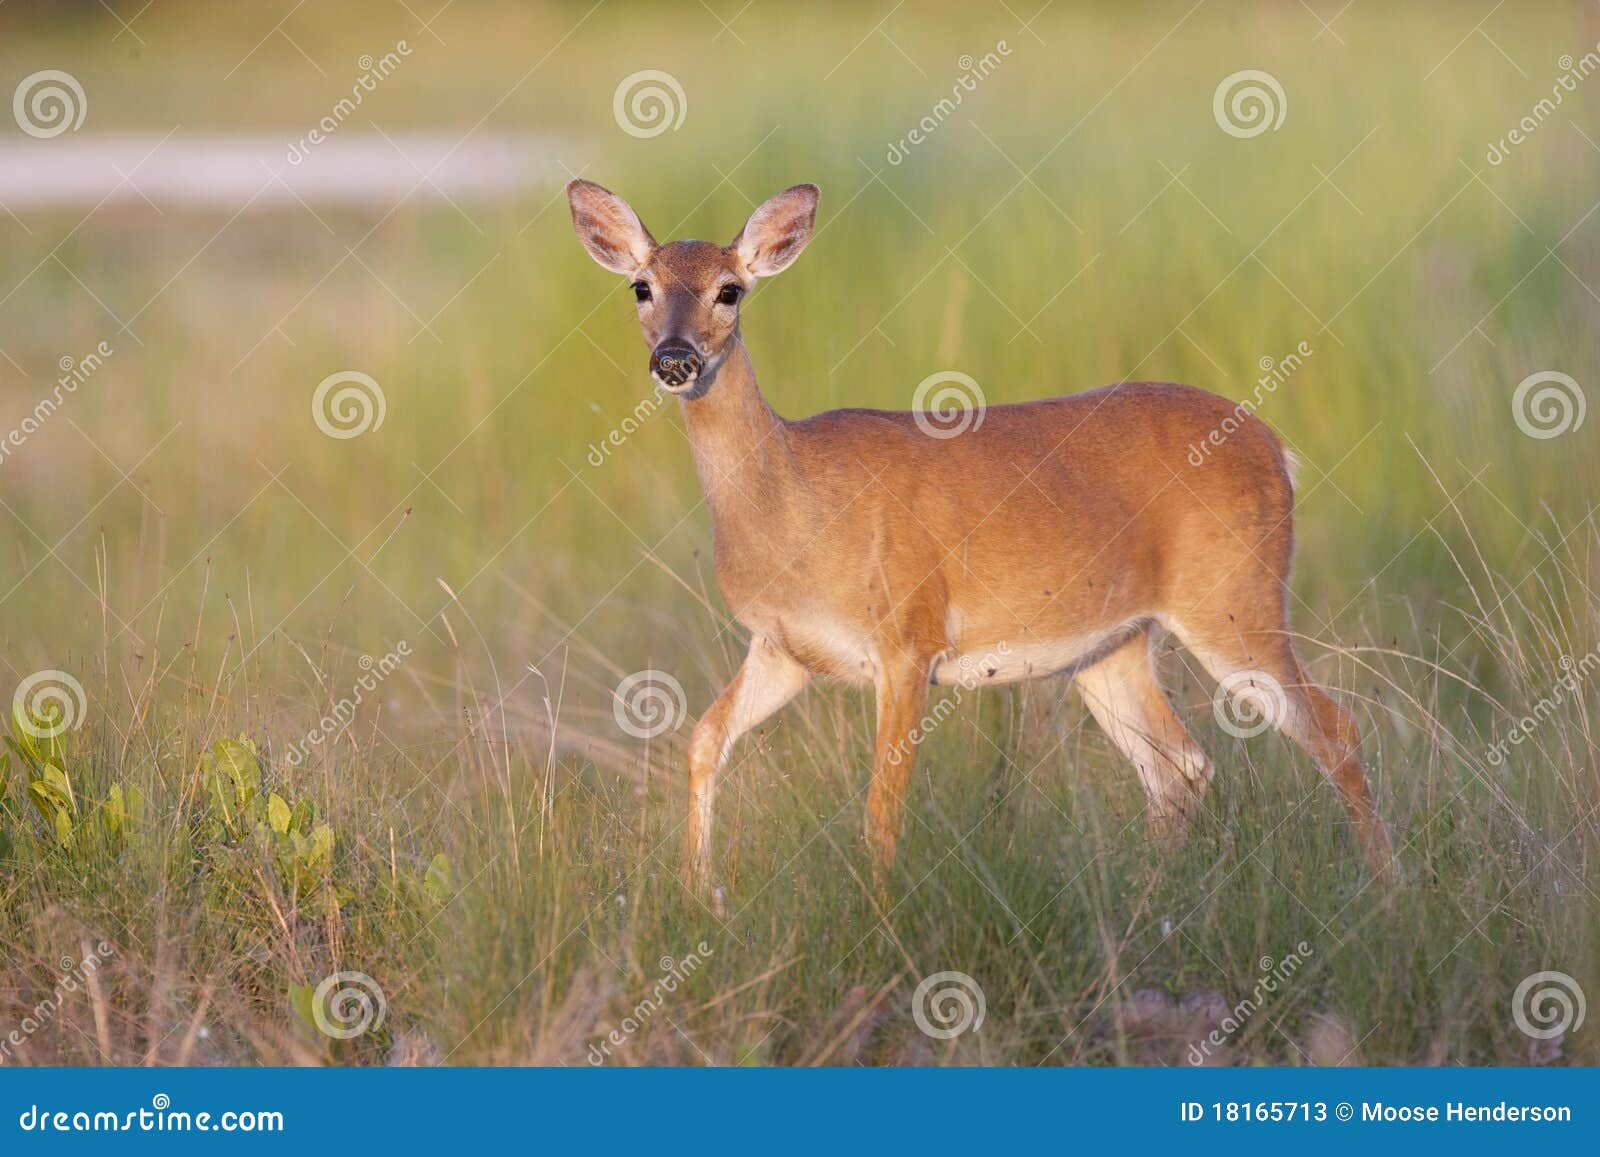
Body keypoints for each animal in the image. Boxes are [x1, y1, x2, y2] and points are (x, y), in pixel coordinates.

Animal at [566, 178, 1393, 892]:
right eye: (641, 286)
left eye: (730, 289)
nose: (675, 359)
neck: (792, 499)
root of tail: (1277, 447)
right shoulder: (784, 647)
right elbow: (704, 739)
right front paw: (697, 896)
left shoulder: (909, 636)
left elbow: (880, 809)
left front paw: (881, 922)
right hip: (1111, 644)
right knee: (1181, 766)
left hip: (1233, 596)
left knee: (1338, 729)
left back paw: (1385, 895)